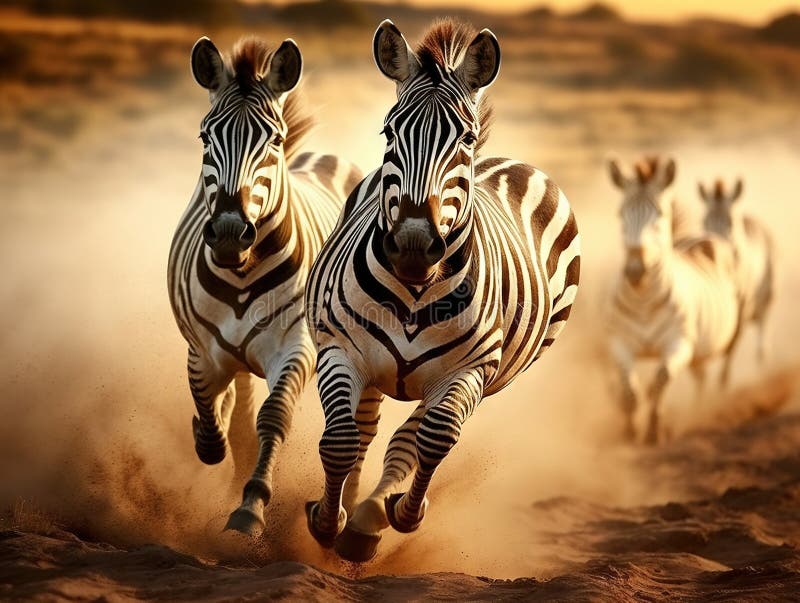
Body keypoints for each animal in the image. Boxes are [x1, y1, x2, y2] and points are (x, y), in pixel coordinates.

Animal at [167, 36, 361, 536]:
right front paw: (209, 439)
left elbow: (273, 416)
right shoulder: (202, 349)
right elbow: (210, 412)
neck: (241, 273)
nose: (230, 232)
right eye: (205, 137)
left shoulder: (298, 345)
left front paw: (251, 504)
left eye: (272, 139)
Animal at [303, 19, 581, 562]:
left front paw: (395, 518)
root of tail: (505, 160)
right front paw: (326, 522)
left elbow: (433, 439)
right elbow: (341, 439)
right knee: (367, 430)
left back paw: (369, 518)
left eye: (465, 137)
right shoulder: (340, 348)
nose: (413, 244)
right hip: (375, 368)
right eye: (389, 132)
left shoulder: (471, 370)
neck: (414, 293)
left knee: (410, 438)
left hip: (479, 379)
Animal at [607, 156, 740, 445]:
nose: (635, 271)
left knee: (724, 364)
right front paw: (630, 432)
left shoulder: (678, 342)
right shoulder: (619, 343)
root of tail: (703, 238)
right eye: (621, 214)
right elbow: (630, 391)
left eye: (660, 215)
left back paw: (708, 408)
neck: (643, 300)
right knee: (701, 377)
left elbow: (659, 381)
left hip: (732, 327)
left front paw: (654, 432)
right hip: (698, 351)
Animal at [699, 178, 774, 365]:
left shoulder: (743, 308)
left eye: (731, 224)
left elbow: (730, 353)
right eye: (704, 222)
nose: (712, 249)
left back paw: (762, 357)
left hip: (768, 293)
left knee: (763, 321)